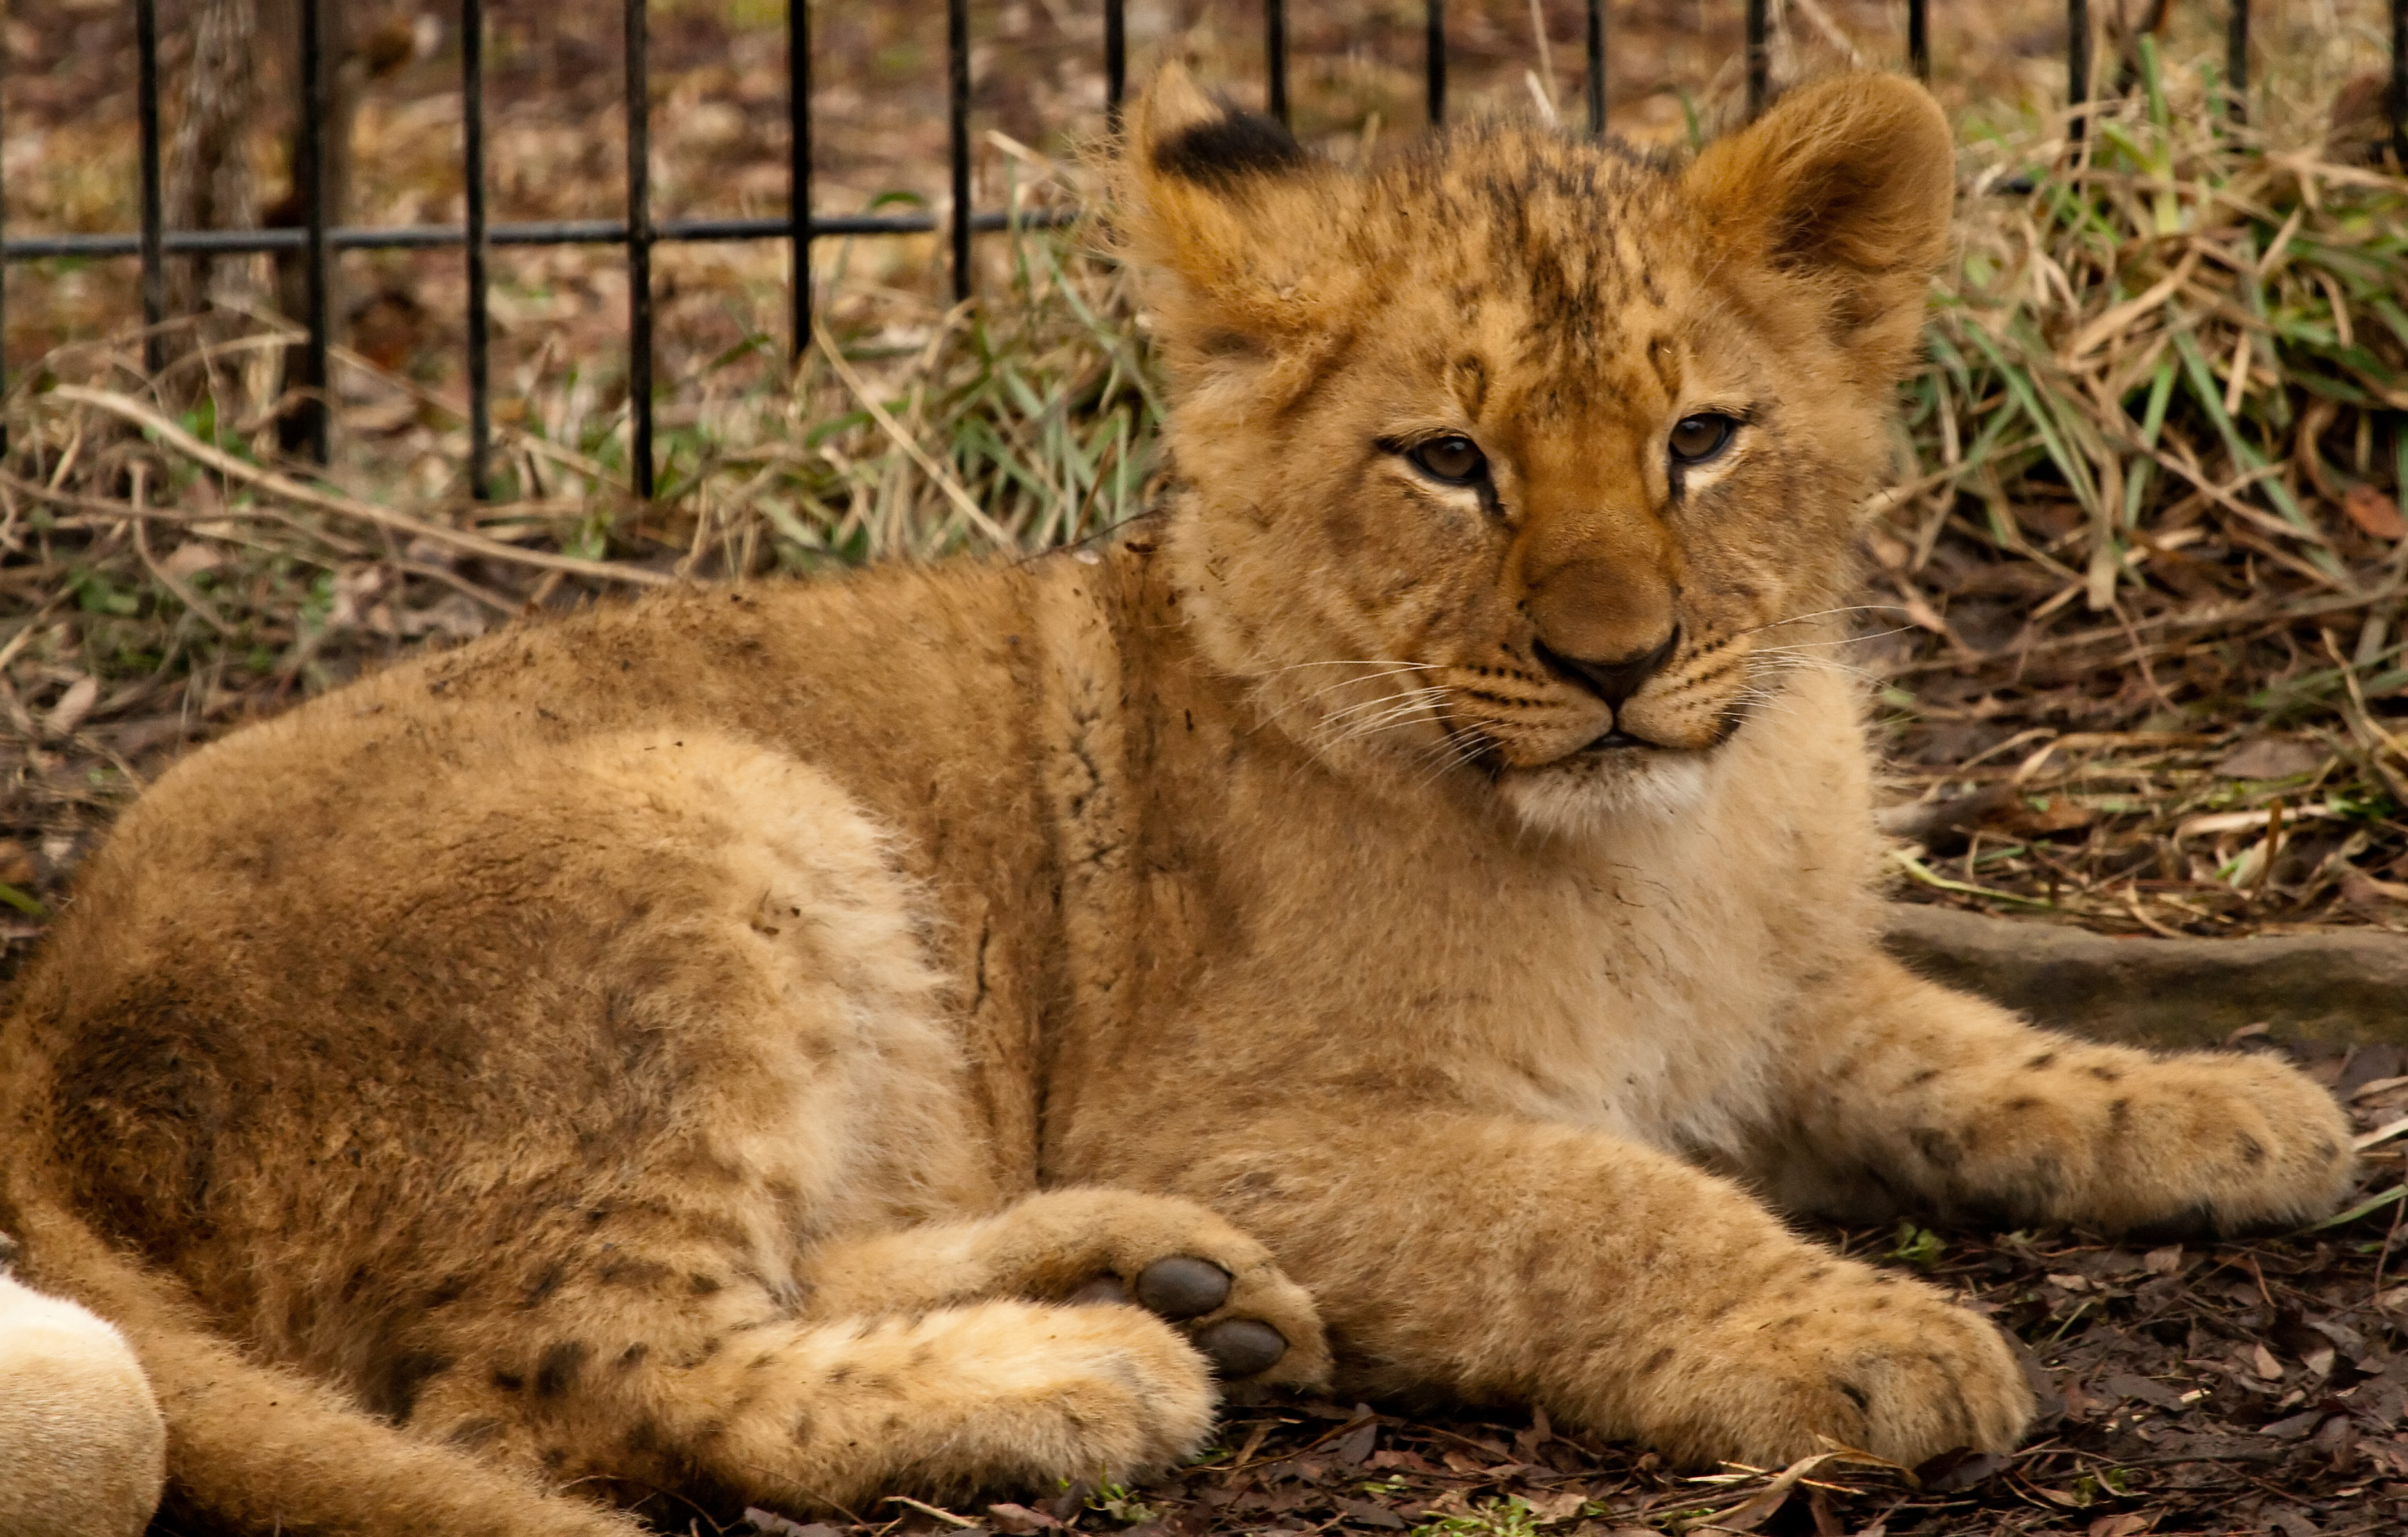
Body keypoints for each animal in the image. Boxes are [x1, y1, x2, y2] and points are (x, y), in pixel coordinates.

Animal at [0, 67, 2353, 1535]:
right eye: (1448, 462)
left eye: (1700, 438)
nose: (1617, 662)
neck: (1657, 835)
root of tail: (43, 1004)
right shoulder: (1246, 1106)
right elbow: (1594, 1207)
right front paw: (1859, 1329)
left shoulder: (1769, 1003)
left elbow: (1956, 1041)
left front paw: (2229, 1104)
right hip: (708, 829)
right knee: (564, 1373)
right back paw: (1079, 1375)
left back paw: (1156, 1284)